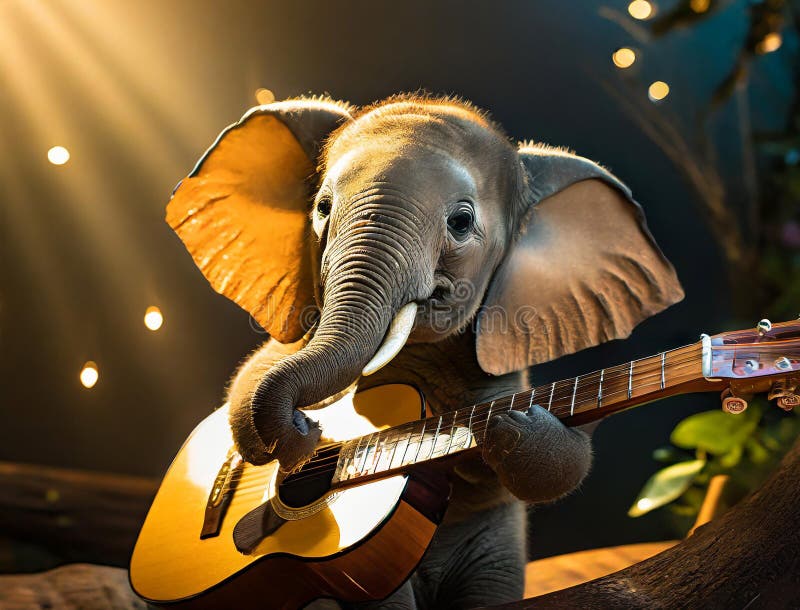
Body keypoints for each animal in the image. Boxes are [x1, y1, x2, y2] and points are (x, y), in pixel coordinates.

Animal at [166, 93, 684, 608]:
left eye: (461, 222)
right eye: (322, 208)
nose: (306, 431)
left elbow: (558, 467)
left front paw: (517, 426)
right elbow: (257, 371)